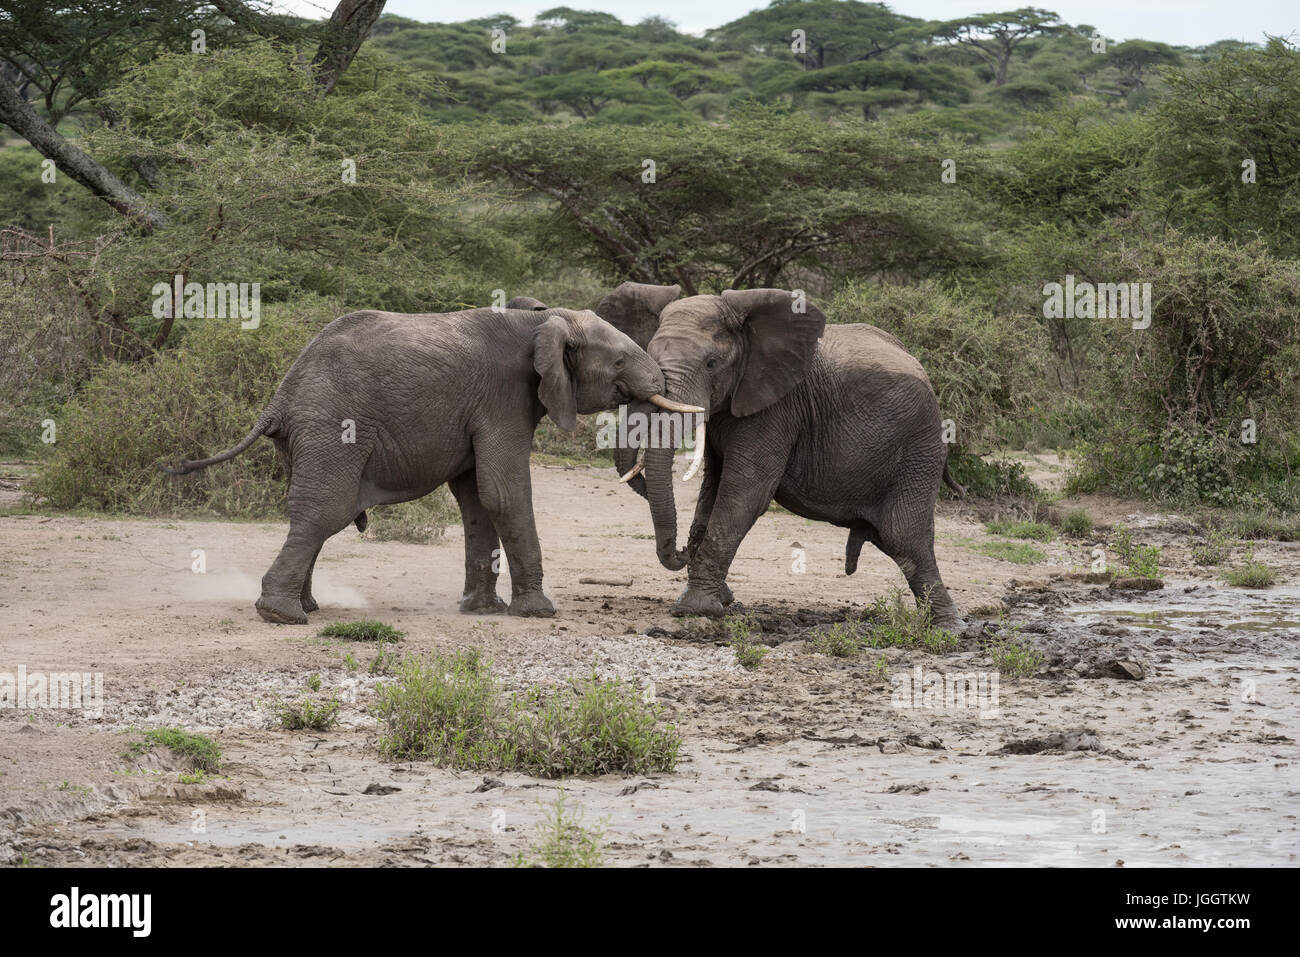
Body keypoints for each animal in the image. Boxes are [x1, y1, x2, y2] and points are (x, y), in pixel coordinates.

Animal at [162, 303, 699, 624]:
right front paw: (539, 612)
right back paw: (284, 615)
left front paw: (482, 610)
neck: (543, 319)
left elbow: (476, 498)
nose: (685, 552)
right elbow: (504, 490)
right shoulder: (504, 397)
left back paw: (306, 606)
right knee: (322, 510)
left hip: (304, 438)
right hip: (333, 427)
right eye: (618, 363)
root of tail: (279, 397)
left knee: (310, 512)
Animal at [597, 282, 964, 626]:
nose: (682, 550)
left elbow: (744, 493)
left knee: (904, 536)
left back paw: (949, 629)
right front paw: (721, 599)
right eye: (649, 355)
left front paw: (695, 609)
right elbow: (712, 488)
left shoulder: (777, 409)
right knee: (894, 541)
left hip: (920, 447)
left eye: (712, 364)